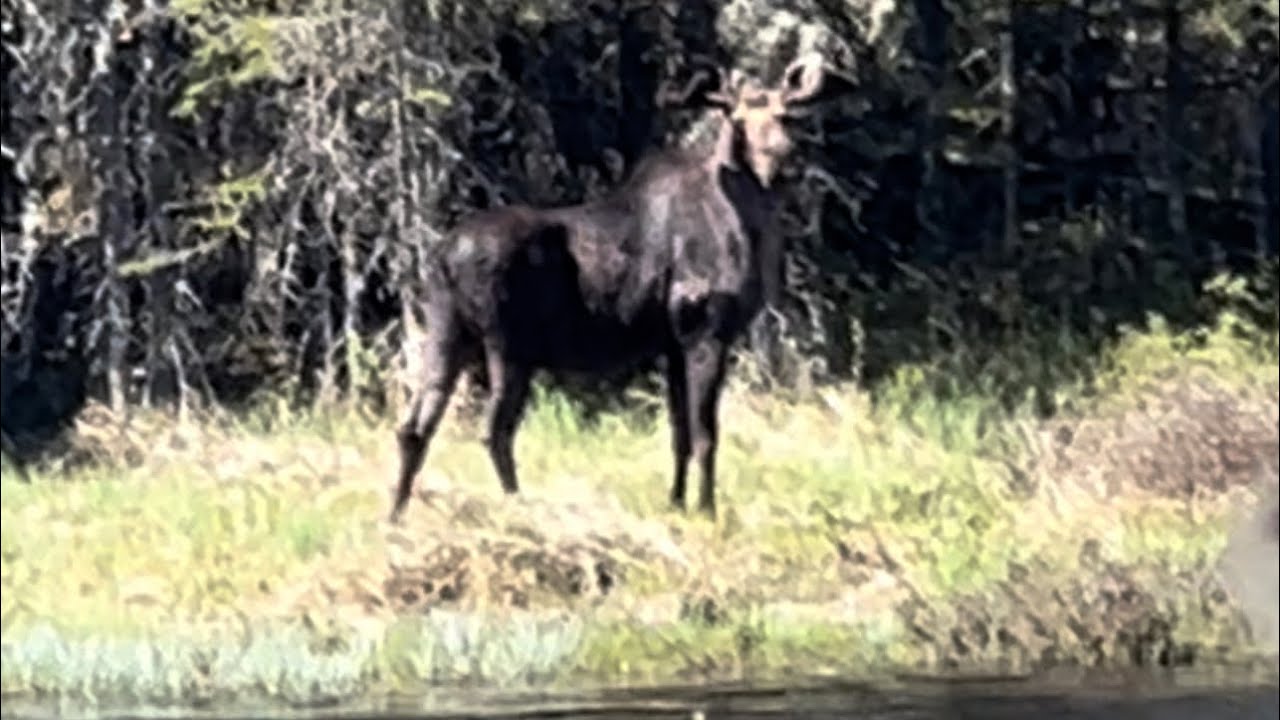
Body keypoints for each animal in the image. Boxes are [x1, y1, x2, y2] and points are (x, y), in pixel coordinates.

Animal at [390, 51, 854, 523]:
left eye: (786, 116)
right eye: (738, 119)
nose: (782, 158)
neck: (752, 228)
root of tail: (444, 257)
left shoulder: (672, 343)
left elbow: (679, 434)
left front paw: (676, 503)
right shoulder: (705, 330)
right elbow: (706, 435)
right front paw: (707, 511)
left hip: (448, 331)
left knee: (413, 426)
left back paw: (395, 515)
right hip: (508, 343)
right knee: (494, 430)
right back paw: (520, 507)